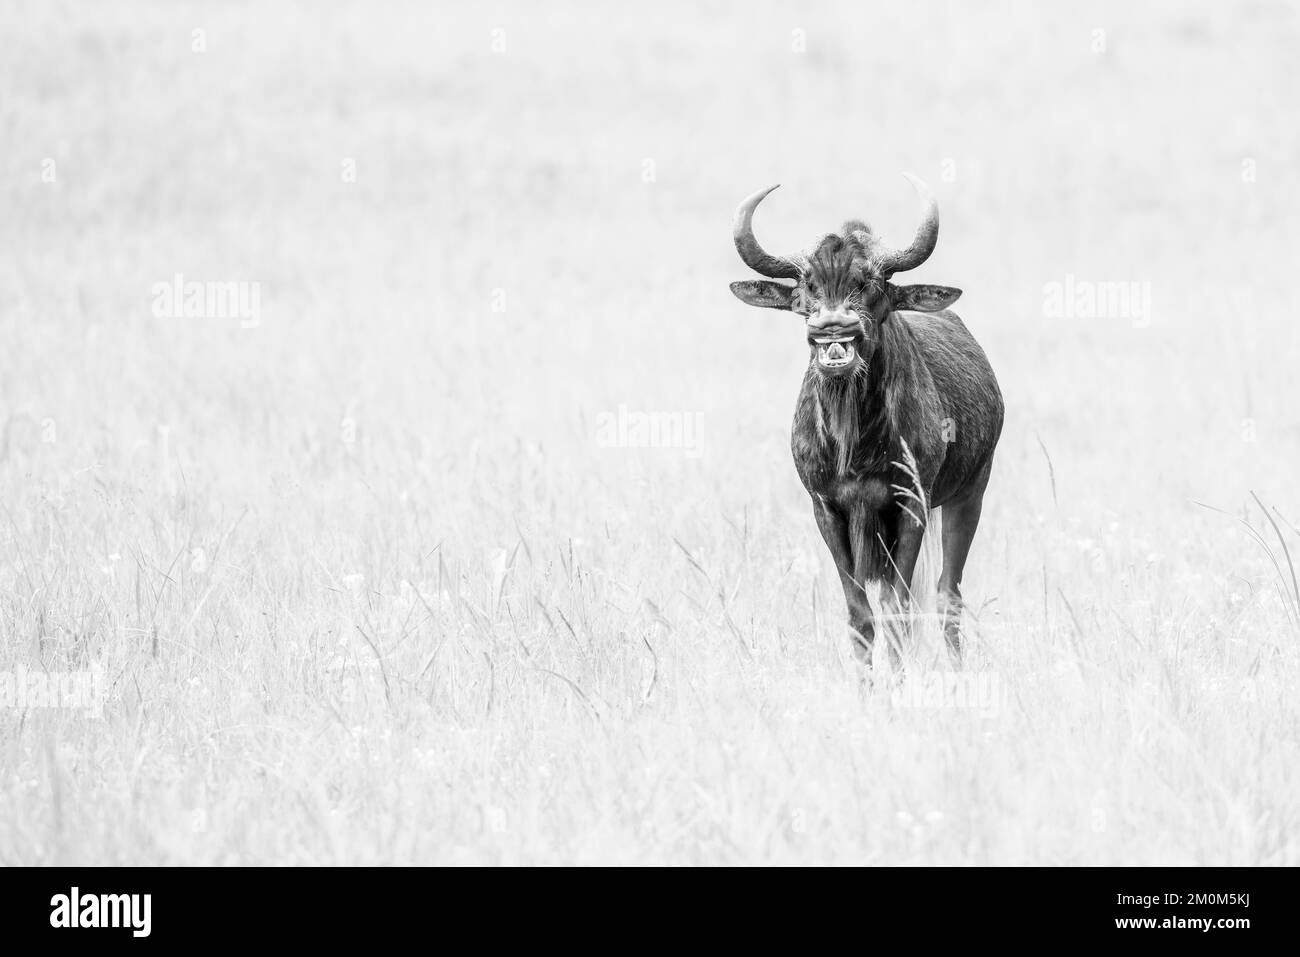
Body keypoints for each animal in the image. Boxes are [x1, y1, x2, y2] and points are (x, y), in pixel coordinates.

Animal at [729, 175, 1003, 664]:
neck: (854, 445)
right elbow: (860, 615)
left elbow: (897, 609)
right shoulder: (828, 509)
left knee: (947, 596)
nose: (833, 329)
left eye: (869, 283)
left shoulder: (910, 505)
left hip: (970, 492)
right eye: (809, 285)